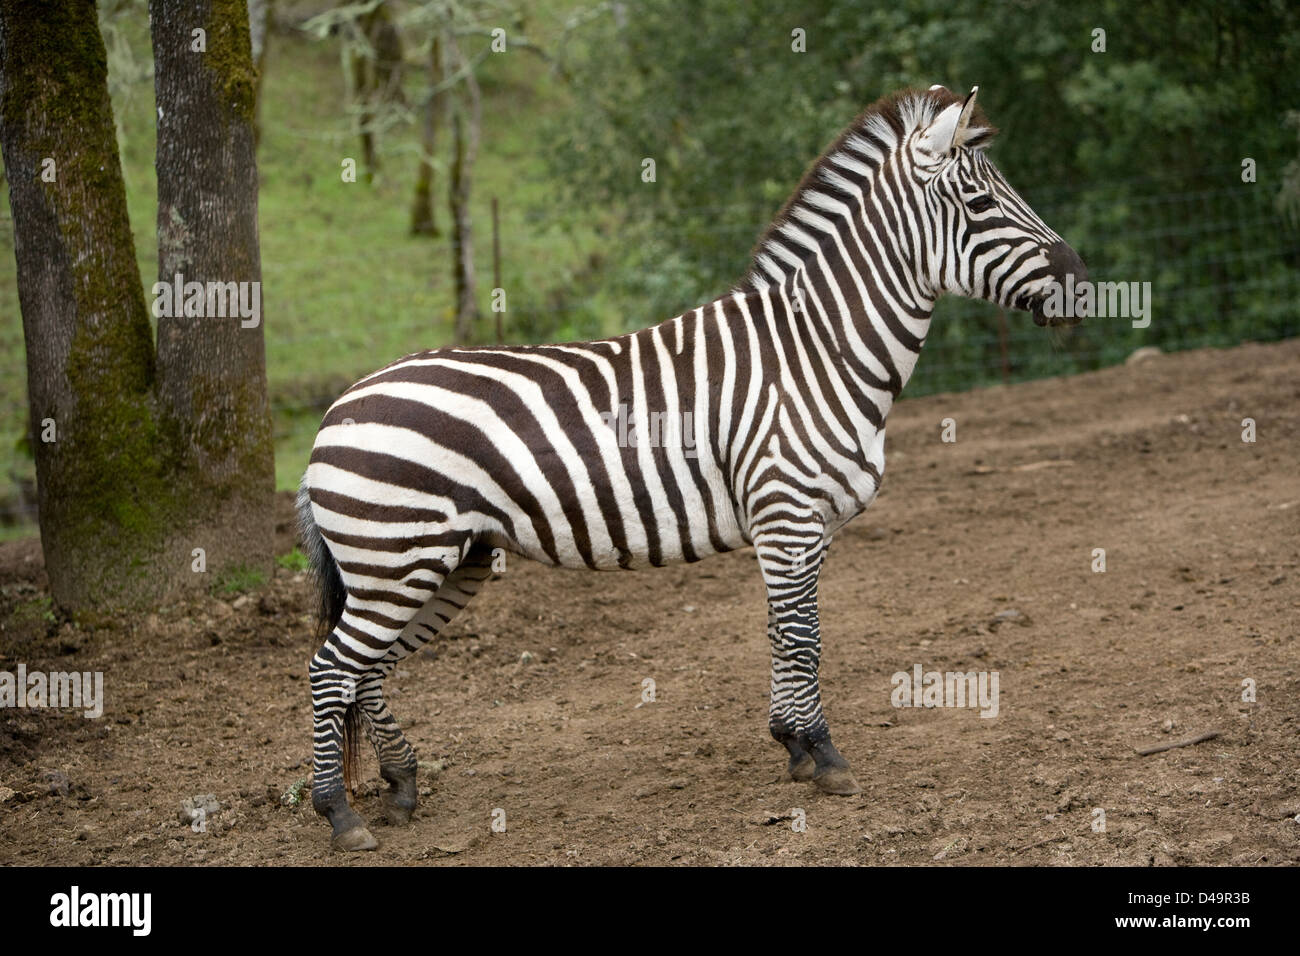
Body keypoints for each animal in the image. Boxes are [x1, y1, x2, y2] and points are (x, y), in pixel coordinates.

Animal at [299, 85, 1087, 851]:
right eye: (981, 204)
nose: (1081, 284)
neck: (817, 350)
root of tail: (335, 410)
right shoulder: (789, 514)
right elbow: (805, 635)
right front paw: (827, 756)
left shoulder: (800, 527)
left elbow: (781, 630)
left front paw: (792, 745)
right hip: (397, 558)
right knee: (331, 668)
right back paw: (339, 814)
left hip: (443, 562)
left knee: (368, 672)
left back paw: (402, 785)